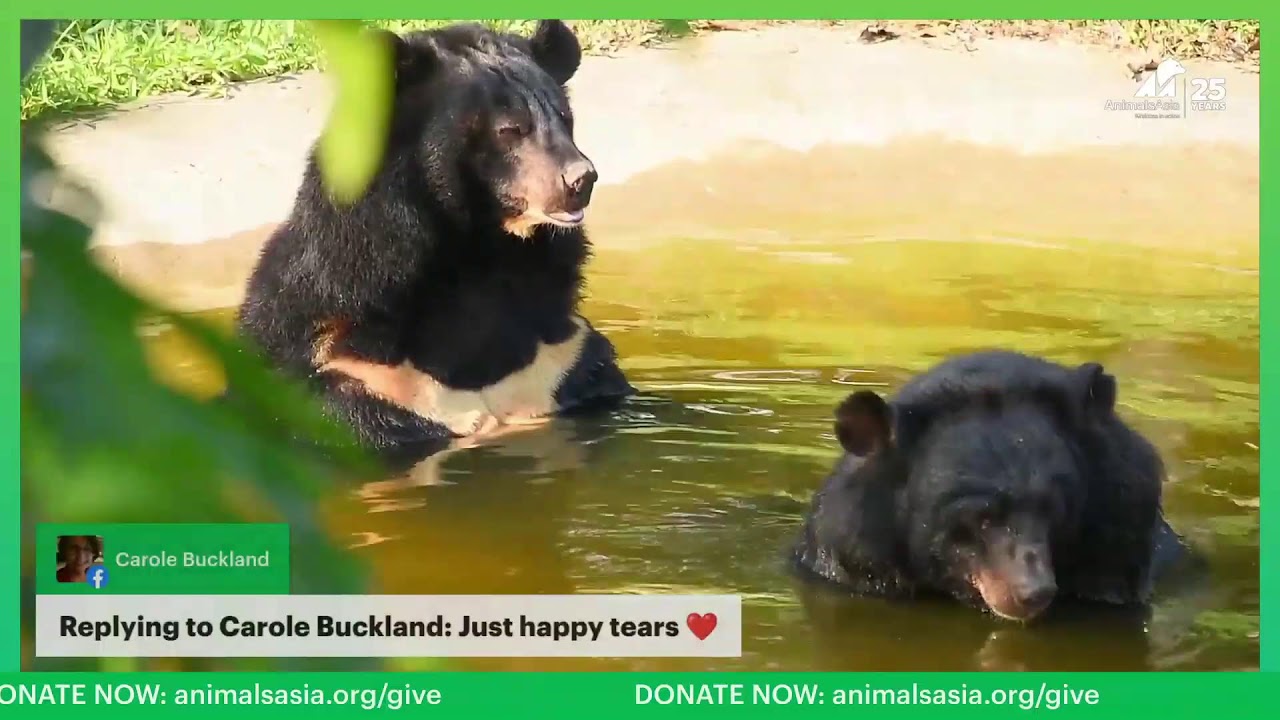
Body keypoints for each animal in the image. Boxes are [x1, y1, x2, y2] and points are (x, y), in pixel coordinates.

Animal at [235, 20, 634, 461]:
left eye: (565, 118)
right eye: (510, 129)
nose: (580, 180)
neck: (477, 254)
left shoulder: (558, 362)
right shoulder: (353, 376)